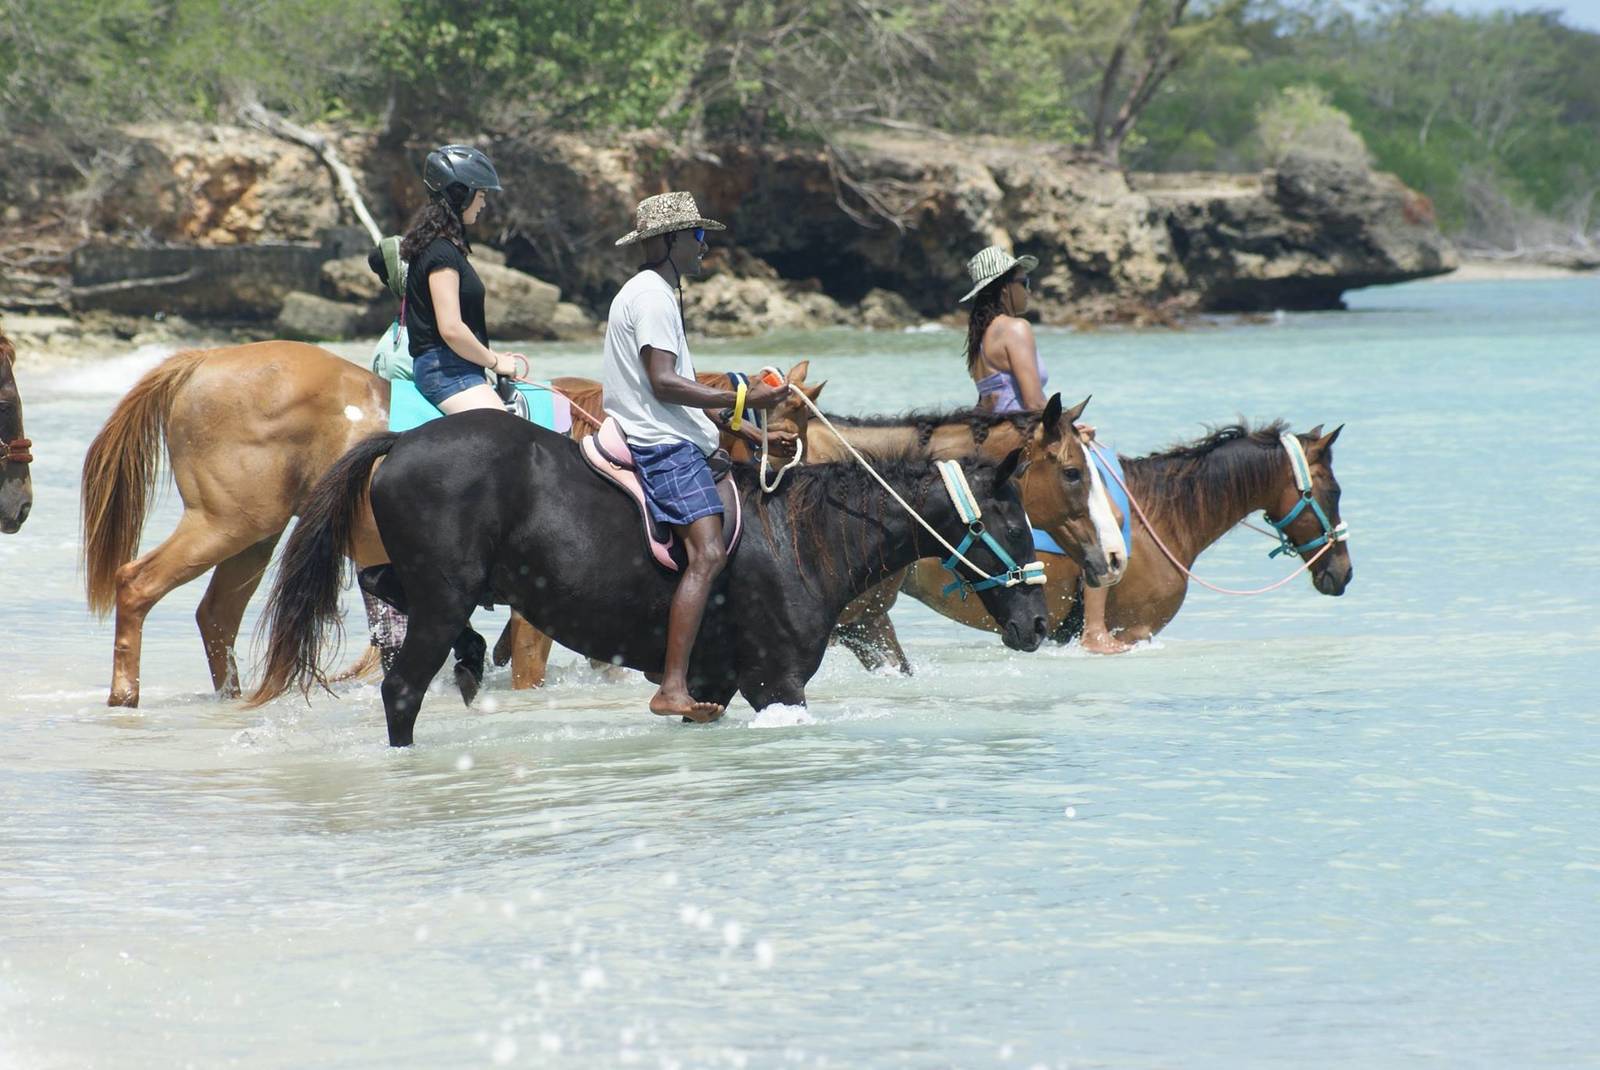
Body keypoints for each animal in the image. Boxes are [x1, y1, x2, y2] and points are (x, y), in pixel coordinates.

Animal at [80, 338, 819, 706]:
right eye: (787, 438)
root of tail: (202, 360)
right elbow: (529, 664)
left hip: (252, 537)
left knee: (216, 617)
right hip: (224, 524)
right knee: (138, 584)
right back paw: (125, 693)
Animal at [246, 413, 1050, 746]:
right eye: (1016, 523)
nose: (1040, 623)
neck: (802, 538)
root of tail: (403, 439)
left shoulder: (718, 685)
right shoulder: (777, 682)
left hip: (434, 587)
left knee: (391, 594)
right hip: (444, 597)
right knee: (402, 689)